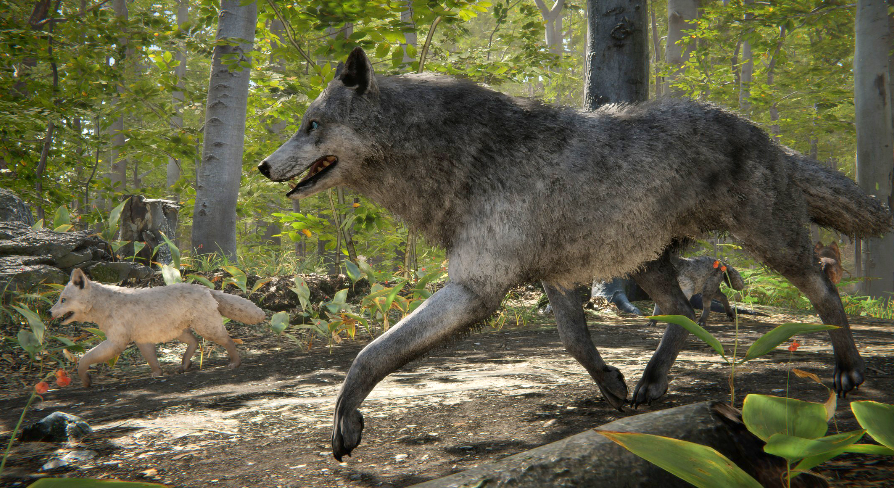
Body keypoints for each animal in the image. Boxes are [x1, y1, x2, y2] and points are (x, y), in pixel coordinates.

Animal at [50, 268, 265, 387]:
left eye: (63, 300)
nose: (49, 312)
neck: (106, 306)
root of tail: (205, 288)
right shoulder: (142, 340)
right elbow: (152, 361)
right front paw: (157, 374)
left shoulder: (116, 343)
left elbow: (84, 359)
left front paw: (86, 380)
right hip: (180, 332)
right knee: (195, 342)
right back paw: (184, 365)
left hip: (206, 329)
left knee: (228, 340)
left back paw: (234, 363)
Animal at [258, 47, 893, 459]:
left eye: (311, 126)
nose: (263, 165)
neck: (462, 157)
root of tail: (769, 137)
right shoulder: (555, 277)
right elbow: (573, 341)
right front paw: (612, 383)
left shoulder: (474, 289)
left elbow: (372, 352)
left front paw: (345, 417)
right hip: (647, 264)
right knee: (685, 313)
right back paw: (651, 383)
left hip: (771, 245)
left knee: (824, 289)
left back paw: (849, 370)